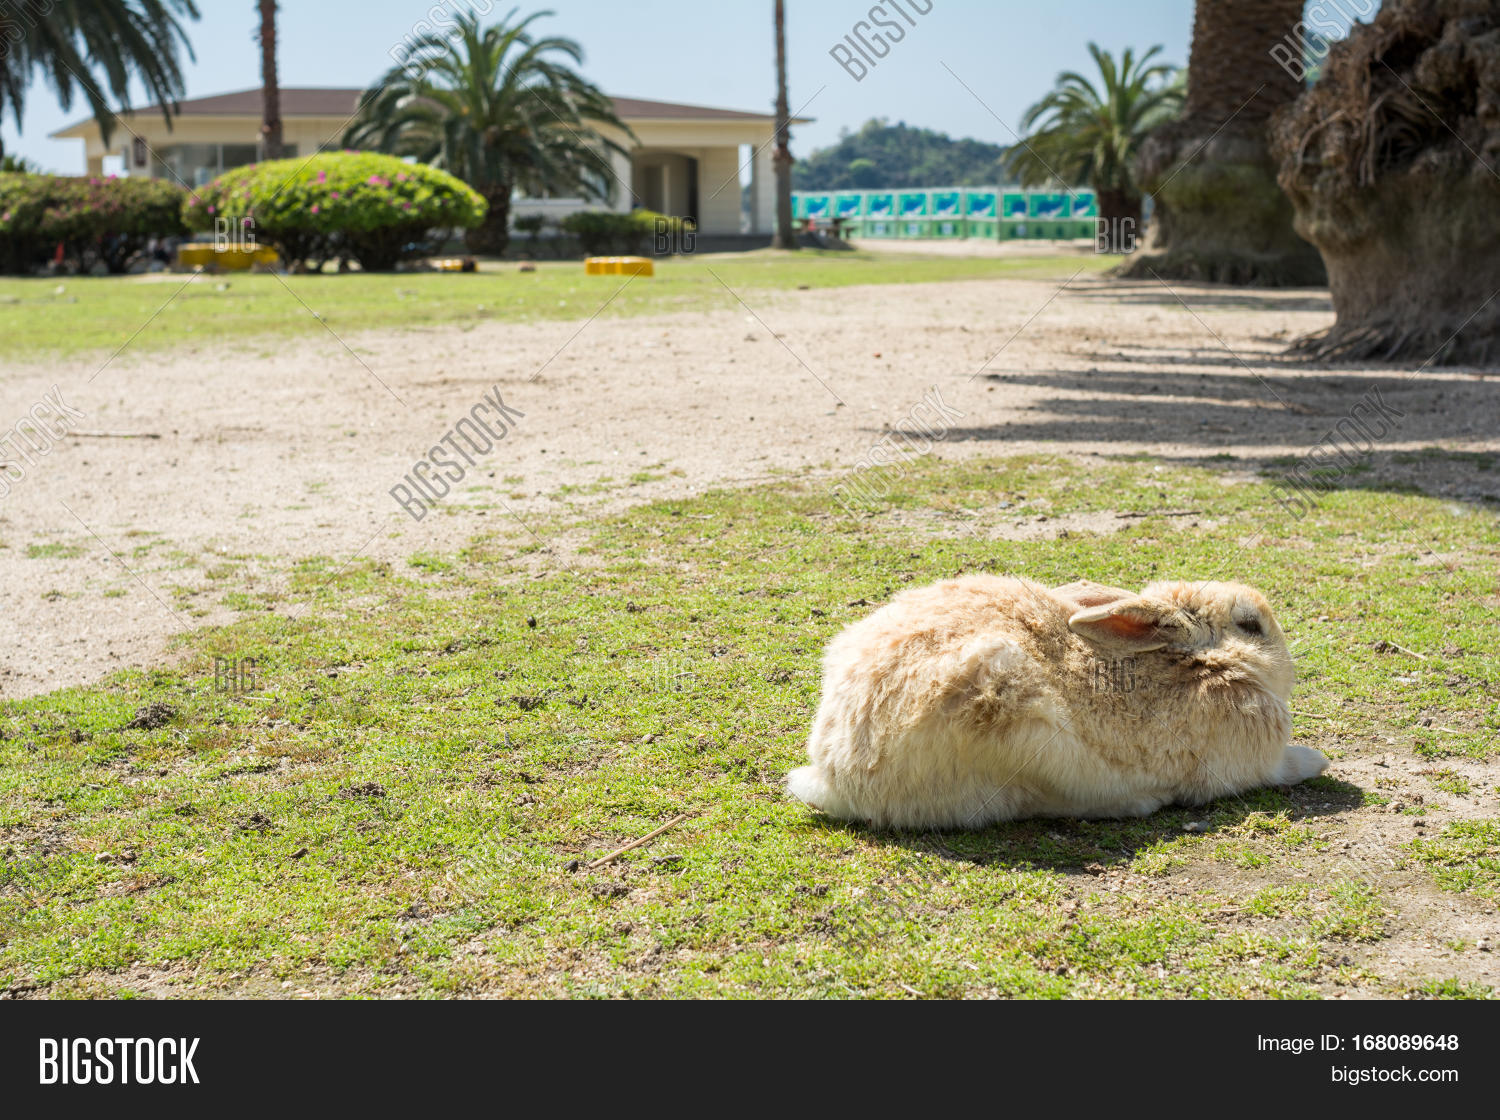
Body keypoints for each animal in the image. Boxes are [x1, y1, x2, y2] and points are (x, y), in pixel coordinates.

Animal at [787, 575, 1328, 829]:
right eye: (1251, 625)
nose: (1289, 663)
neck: (1190, 661)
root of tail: (836, 770)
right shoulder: (1247, 767)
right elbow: (1287, 766)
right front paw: (1318, 759)